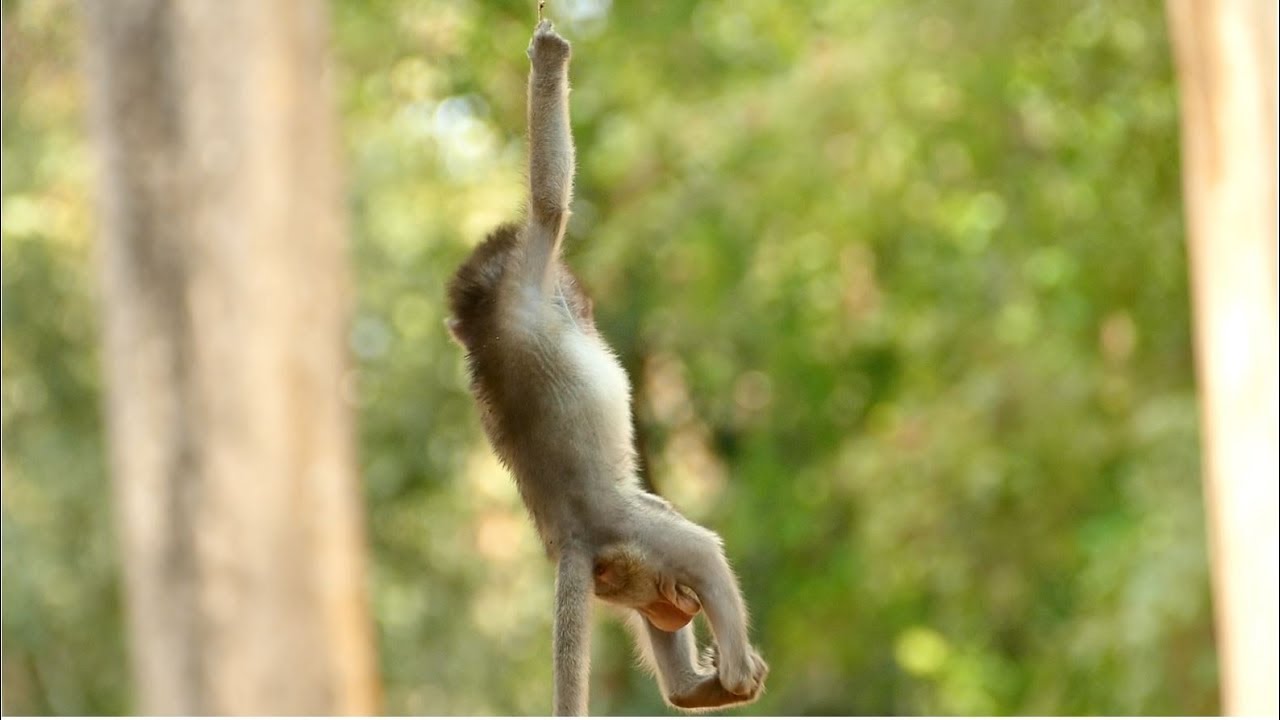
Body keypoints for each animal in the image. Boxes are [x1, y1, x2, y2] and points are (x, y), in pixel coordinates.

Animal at [445, 18, 768, 716]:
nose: (579, 299)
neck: (485, 326)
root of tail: (570, 542)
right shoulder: (527, 275)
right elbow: (548, 206)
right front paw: (548, 58)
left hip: (631, 566)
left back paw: (690, 681)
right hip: (630, 536)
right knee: (699, 549)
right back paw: (727, 674)